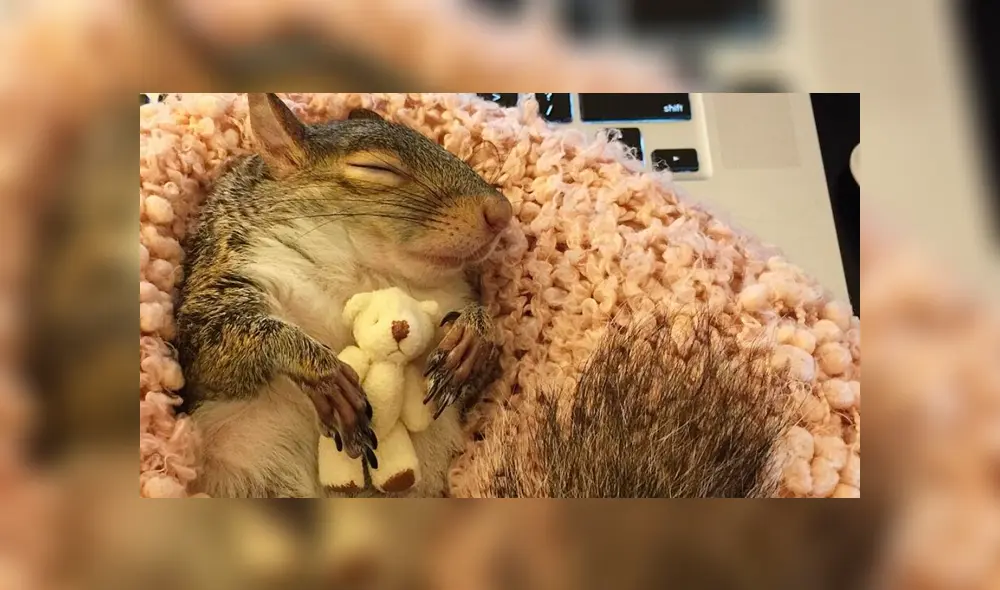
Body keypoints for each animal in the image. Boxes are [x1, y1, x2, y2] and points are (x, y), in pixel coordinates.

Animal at [176, 93, 790, 498]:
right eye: (375, 167)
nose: (501, 211)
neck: (362, 273)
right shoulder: (216, 294)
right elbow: (220, 346)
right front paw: (320, 370)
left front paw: (475, 336)